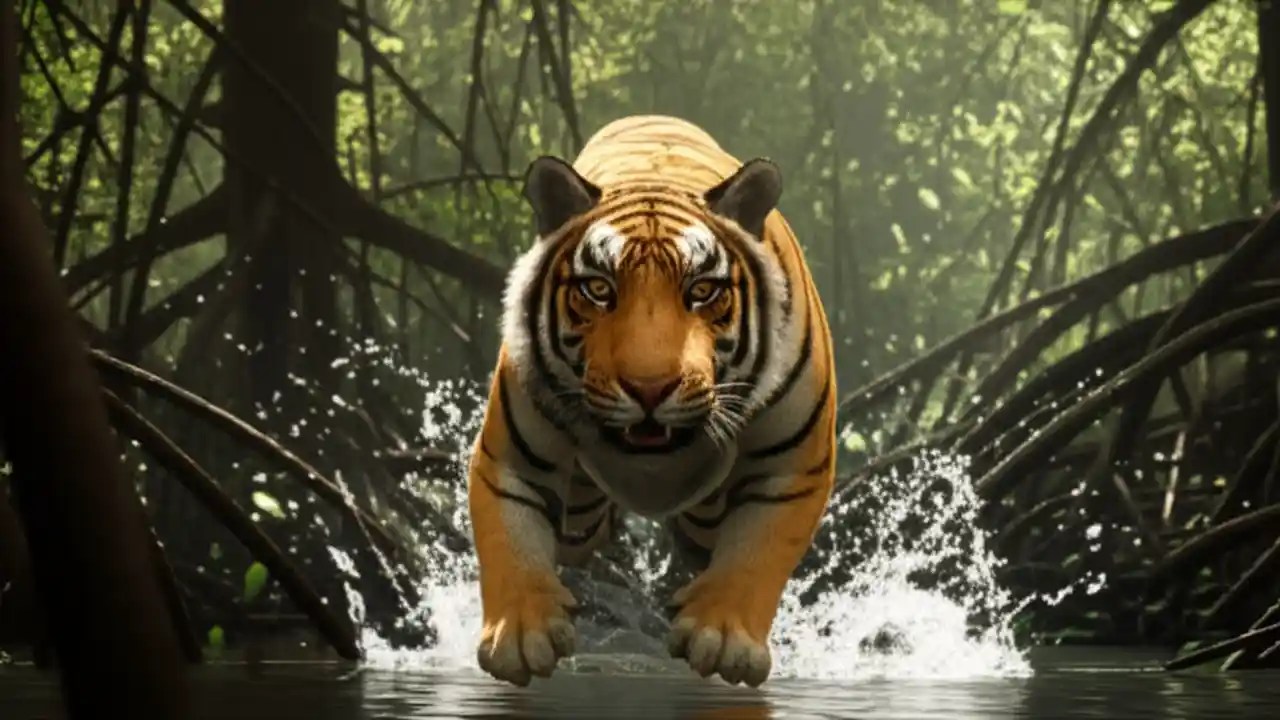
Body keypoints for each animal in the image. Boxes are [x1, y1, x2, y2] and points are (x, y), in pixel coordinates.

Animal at [466, 114, 836, 688]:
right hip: (581, 514)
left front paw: (722, 637)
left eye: (703, 291)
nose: (648, 387)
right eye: (597, 289)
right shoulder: (513, 461)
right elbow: (510, 540)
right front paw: (522, 636)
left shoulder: (789, 469)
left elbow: (756, 554)